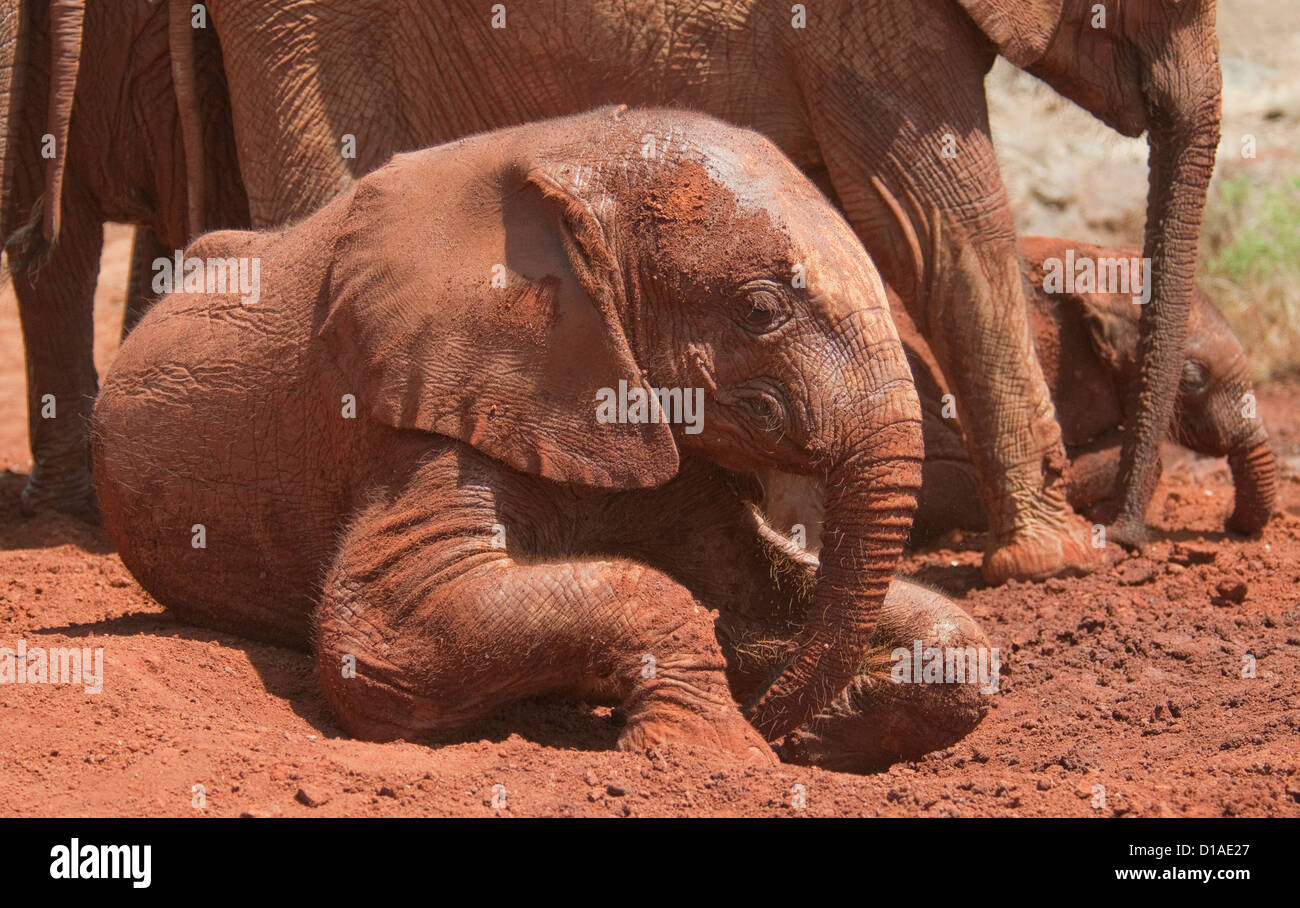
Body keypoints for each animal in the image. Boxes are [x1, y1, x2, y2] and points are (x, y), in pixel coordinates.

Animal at [91, 108, 993, 763]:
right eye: (760, 310)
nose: (783, 722)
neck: (574, 166)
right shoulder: (439, 405)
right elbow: (380, 637)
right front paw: (715, 757)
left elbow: (757, 587)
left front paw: (824, 728)